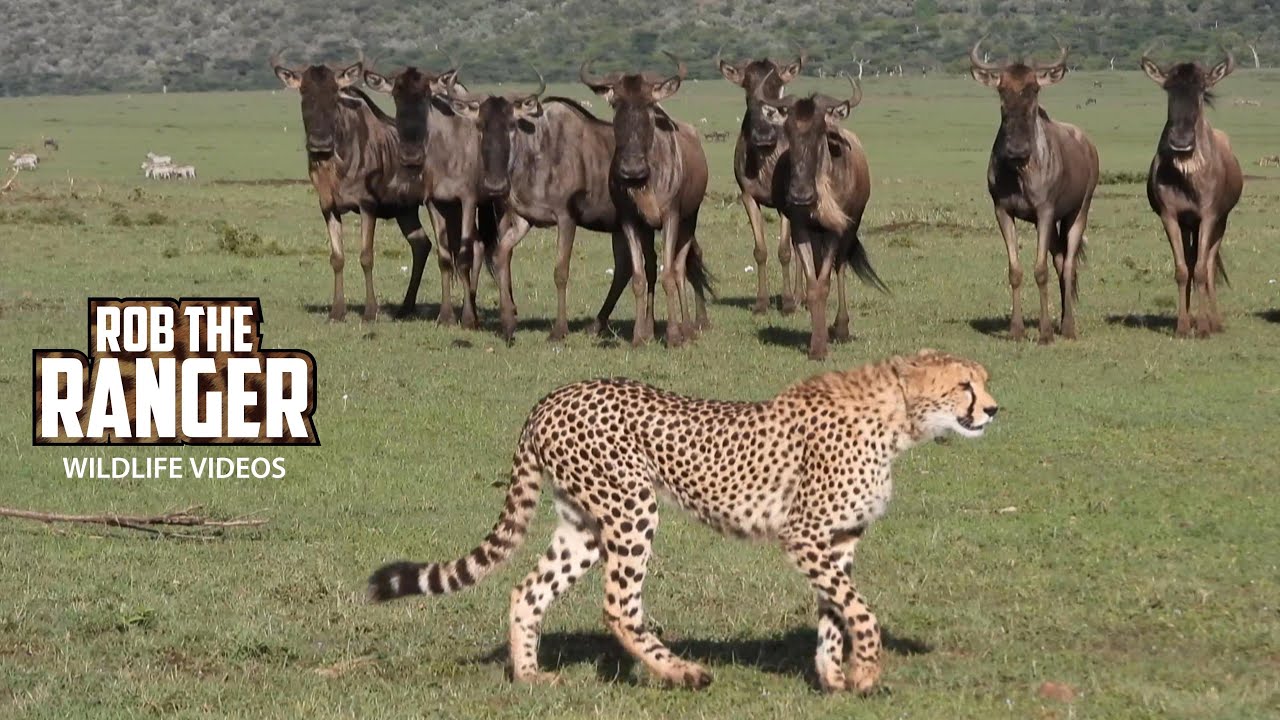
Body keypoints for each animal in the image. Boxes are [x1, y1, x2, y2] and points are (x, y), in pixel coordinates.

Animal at [368, 348, 999, 693]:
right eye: (964, 384)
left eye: (984, 381)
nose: (994, 409)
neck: (897, 421)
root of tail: (551, 397)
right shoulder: (804, 536)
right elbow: (859, 611)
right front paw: (866, 672)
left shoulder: (838, 541)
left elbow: (833, 613)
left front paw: (834, 678)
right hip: (631, 509)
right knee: (619, 606)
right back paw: (684, 674)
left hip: (584, 524)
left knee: (528, 589)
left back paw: (529, 677)